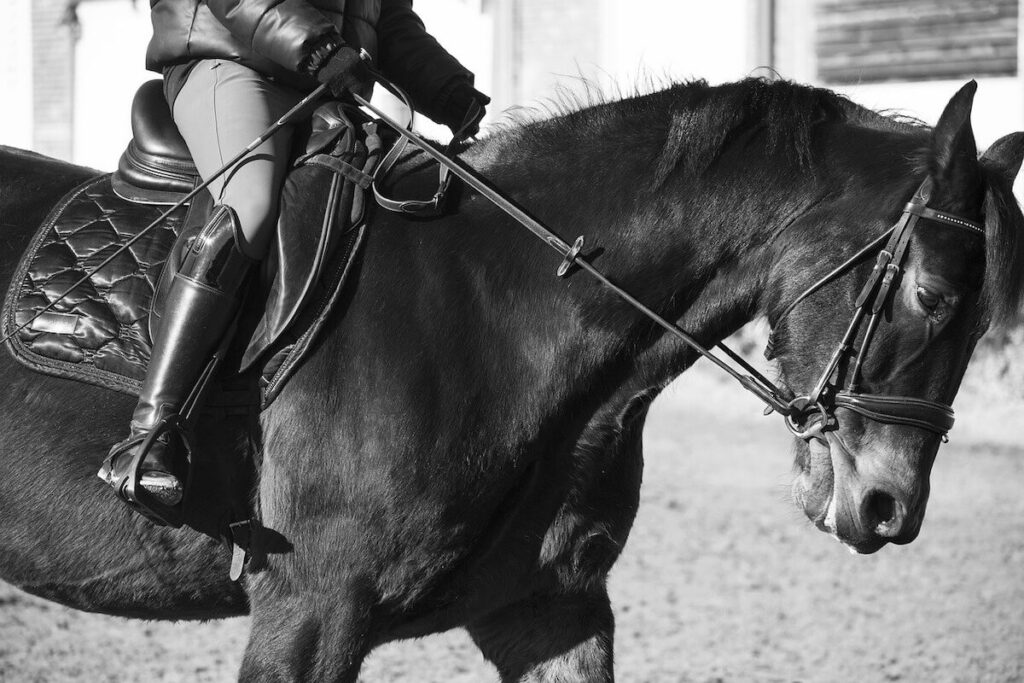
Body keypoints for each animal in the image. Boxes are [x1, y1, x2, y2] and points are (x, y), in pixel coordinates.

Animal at [0, 76, 1022, 682]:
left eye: (984, 318)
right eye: (932, 294)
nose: (890, 508)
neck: (504, 309)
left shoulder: (551, 606)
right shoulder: (310, 607)